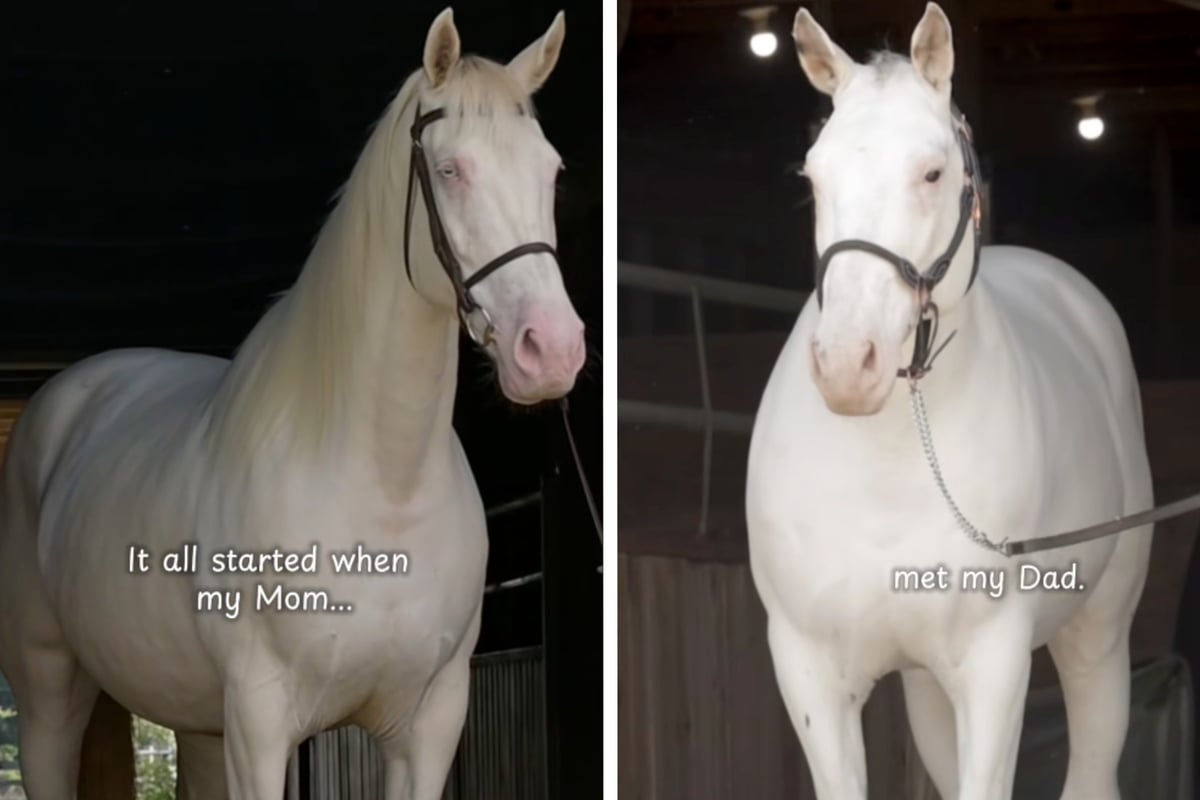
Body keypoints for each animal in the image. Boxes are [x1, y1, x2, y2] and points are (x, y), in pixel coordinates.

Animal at [0, 8, 583, 799]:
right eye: (449, 169)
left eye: (551, 171)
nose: (550, 349)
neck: (383, 488)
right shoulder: (261, 723)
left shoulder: (429, 726)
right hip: (49, 691)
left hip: (199, 724)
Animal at [745, 5, 1152, 799]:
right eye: (815, 176)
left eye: (932, 172)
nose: (848, 366)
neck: (893, 459)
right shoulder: (808, 672)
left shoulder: (995, 668)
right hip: (928, 686)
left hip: (1098, 637)